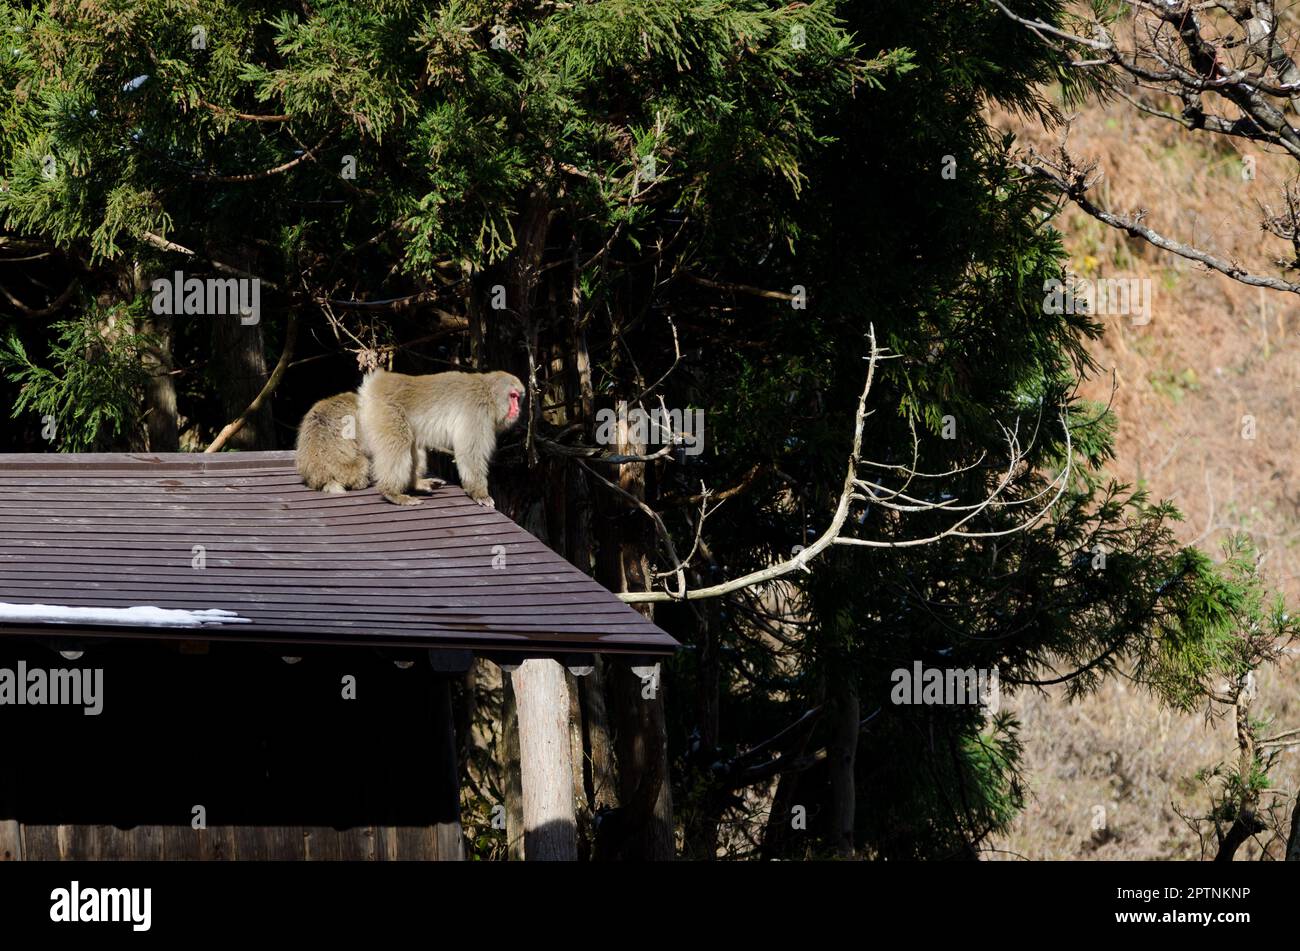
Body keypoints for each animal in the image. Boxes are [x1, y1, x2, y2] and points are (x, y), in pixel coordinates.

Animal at [356, 368, 524, 507]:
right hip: (387, 412)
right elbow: (470, 453)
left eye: (518, 398)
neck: (488, 394)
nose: (517, 409)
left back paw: (414, 484)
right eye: (513, 396)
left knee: (413, 446)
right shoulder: (477, 412)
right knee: (398, 443)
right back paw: (391, 492)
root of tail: (377, 381)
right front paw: (479, 493)